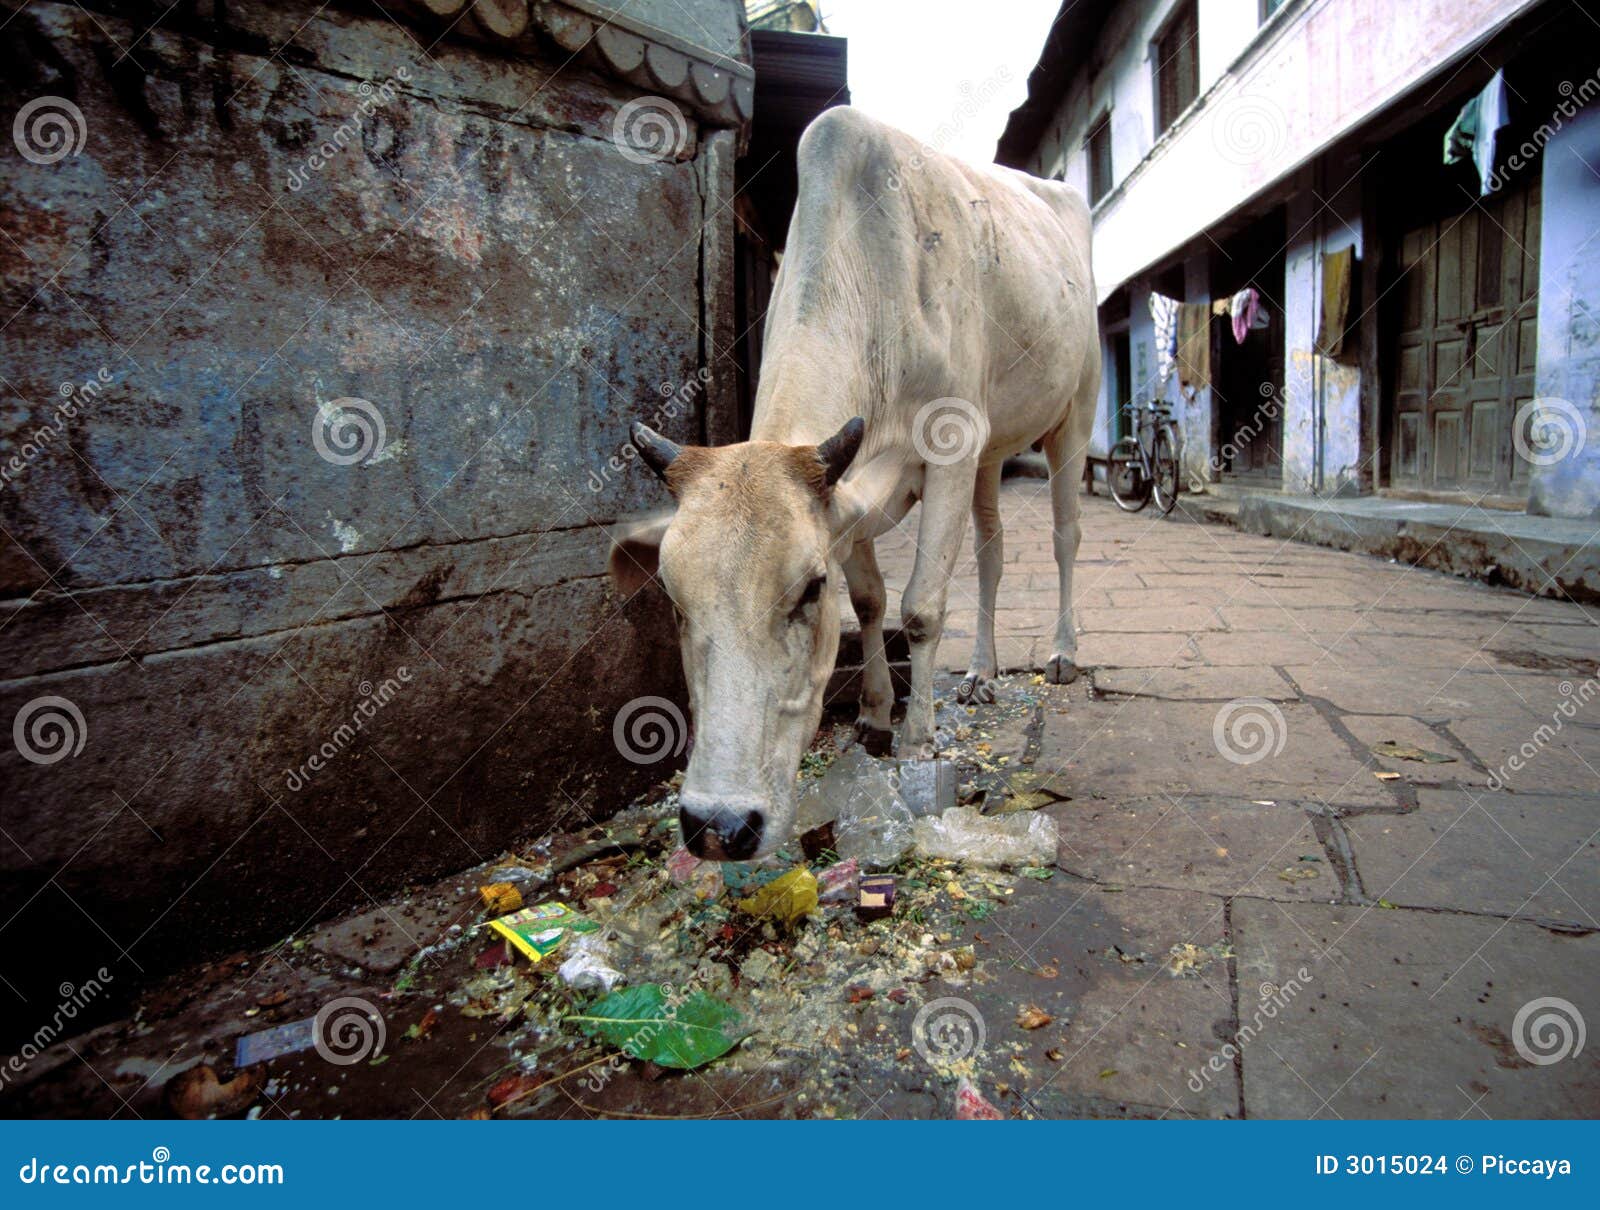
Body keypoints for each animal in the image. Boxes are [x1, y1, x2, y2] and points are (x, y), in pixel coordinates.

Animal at [609, 106, 1099, 860]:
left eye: (810, 590)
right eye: (674, 600)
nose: (718, 825)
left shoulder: (952, 446)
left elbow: (921, 609)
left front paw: (919, 742)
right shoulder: (853, 493)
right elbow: (871, 600)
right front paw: (872, 718)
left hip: (1076, 410)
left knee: (1064, 536)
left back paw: (1063, 653)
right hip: (994, 453)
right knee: (990, 550)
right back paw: (982, 673)